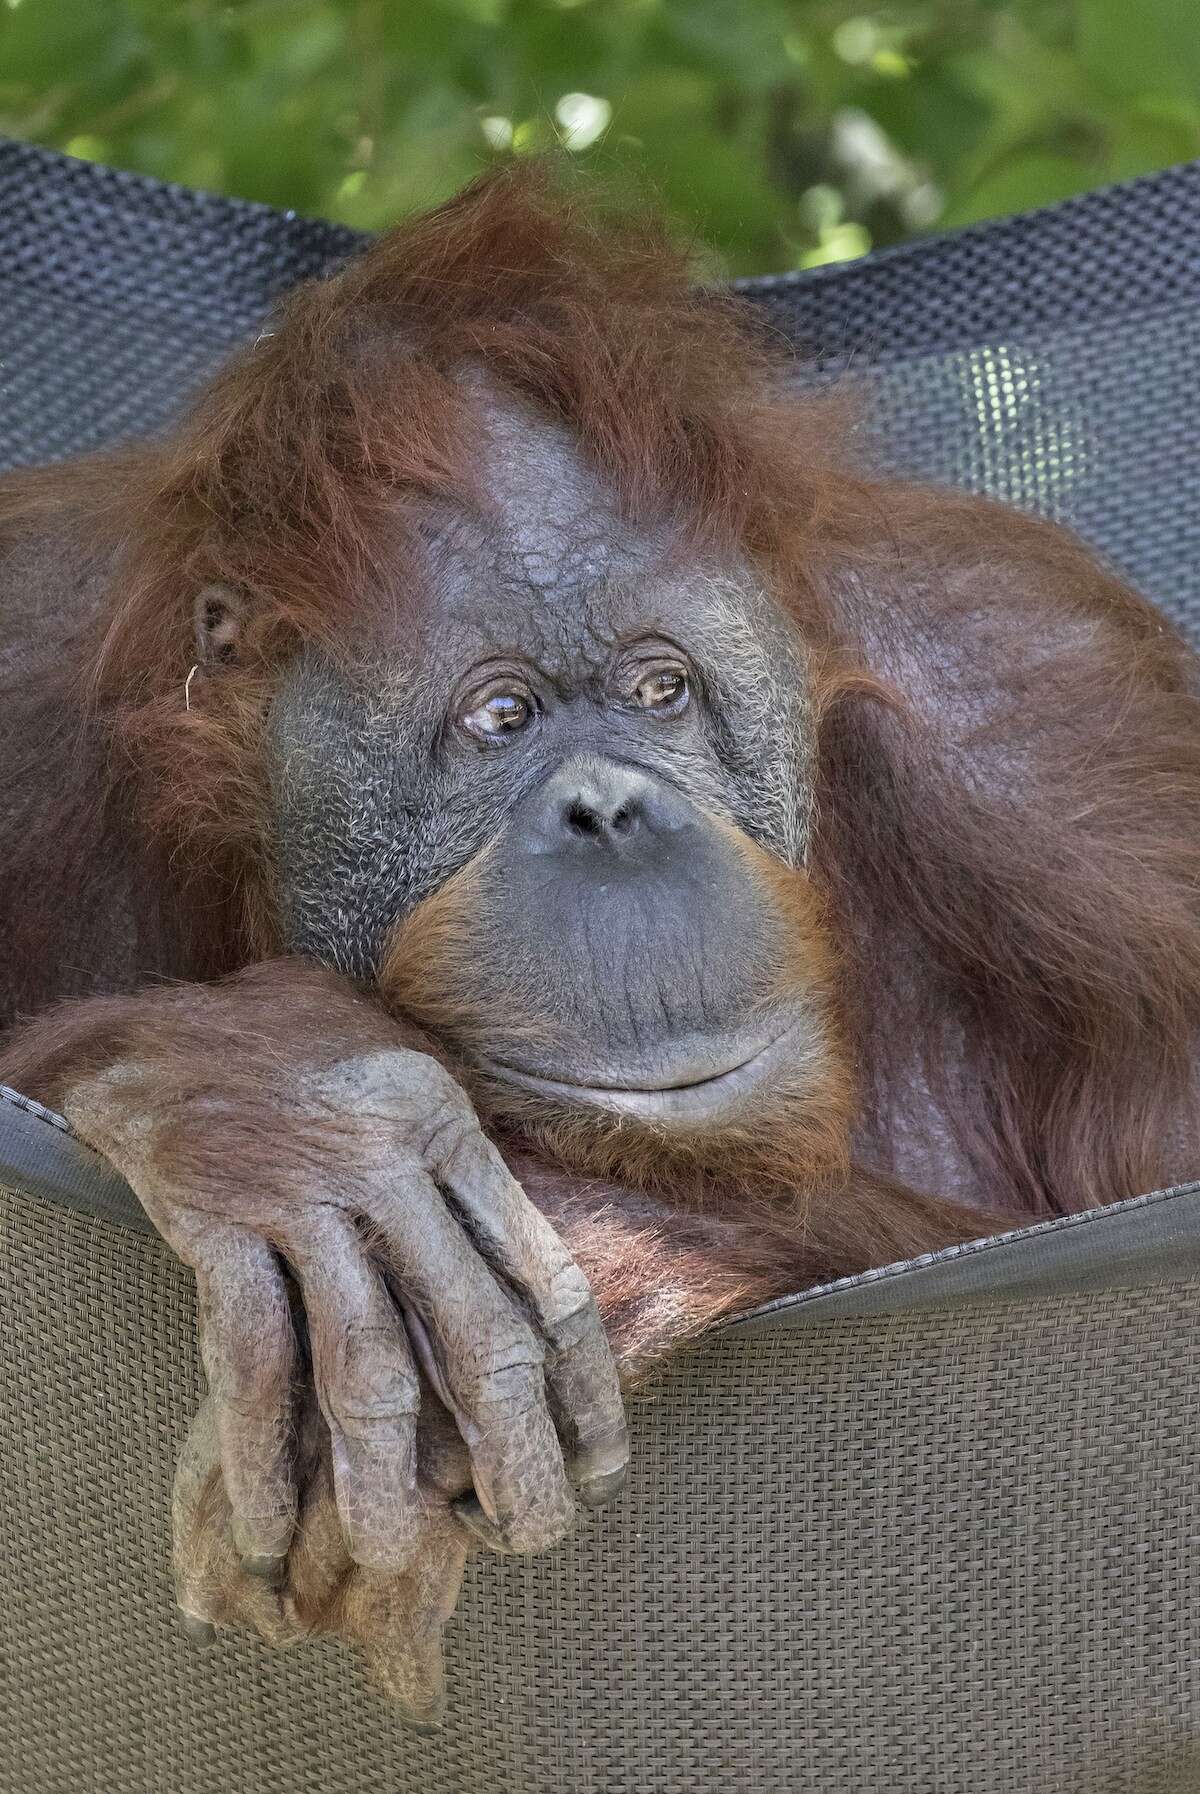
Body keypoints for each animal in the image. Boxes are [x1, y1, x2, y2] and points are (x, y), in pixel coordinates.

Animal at [2, 166, 1198, 1725]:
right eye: (501, 716)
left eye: (661, 689)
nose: (614, 810)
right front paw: (279, 1111)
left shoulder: (1068, 733)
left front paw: (582, 1241)